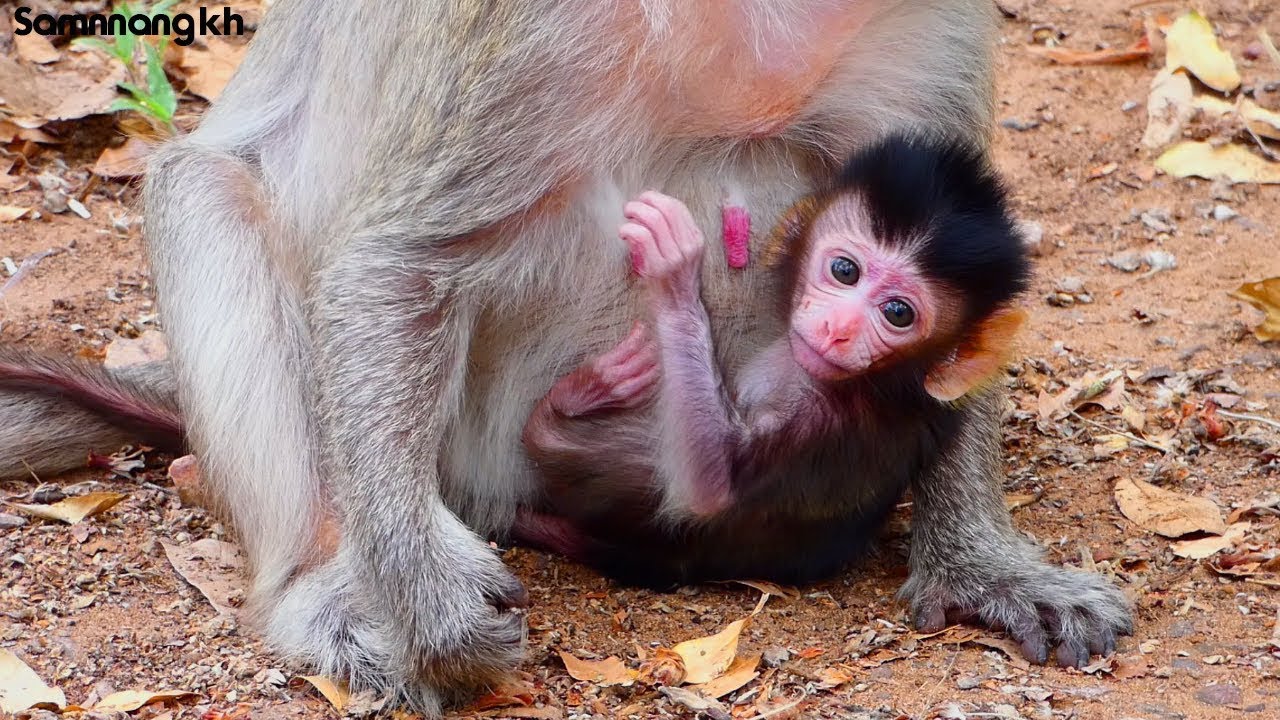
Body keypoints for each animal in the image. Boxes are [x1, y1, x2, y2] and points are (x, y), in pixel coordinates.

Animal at [515, 138, 1131, 670]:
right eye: (844, 270)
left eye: (898, 314)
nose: (839, 328)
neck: (884, 383)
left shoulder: (822, 422)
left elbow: (709, 486)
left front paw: (675, 266)